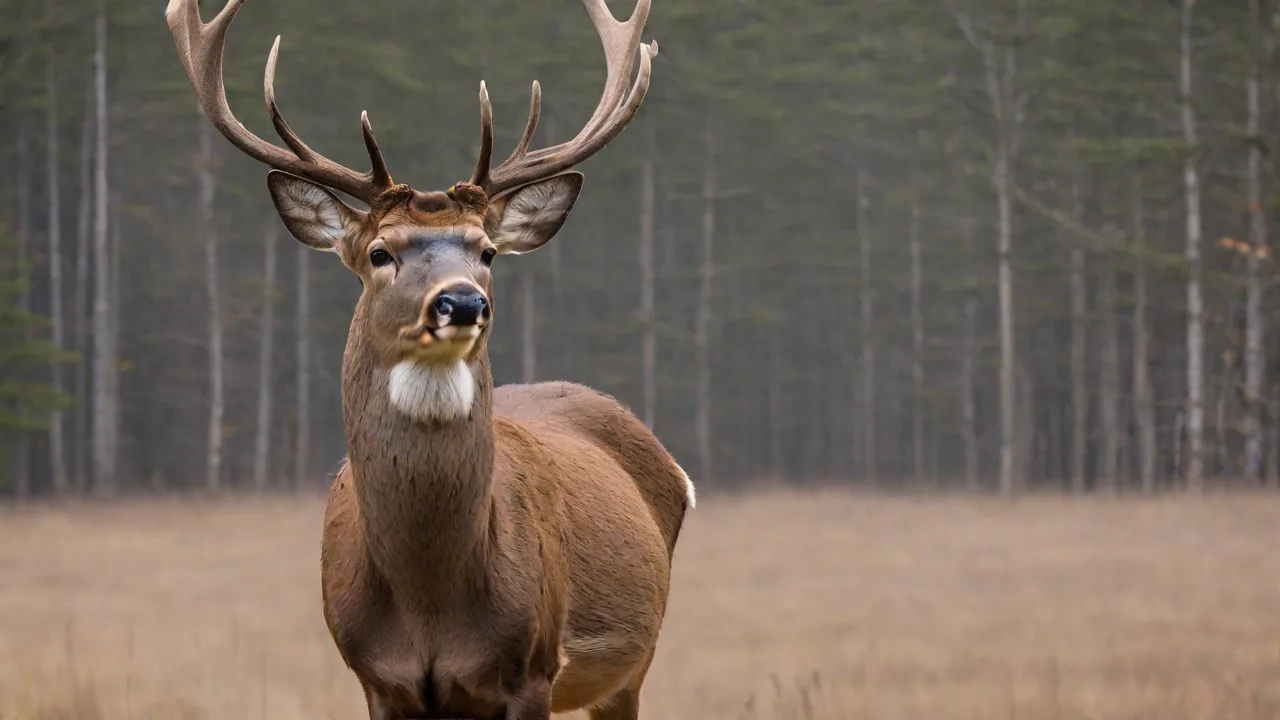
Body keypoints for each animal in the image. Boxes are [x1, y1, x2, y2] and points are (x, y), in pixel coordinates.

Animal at [164, 0, 693, 718]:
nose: (462, 302)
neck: (429, 601)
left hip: (630, 667)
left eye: (486, 251)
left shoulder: (532, 668)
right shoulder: (375, 678)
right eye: (380, 252)